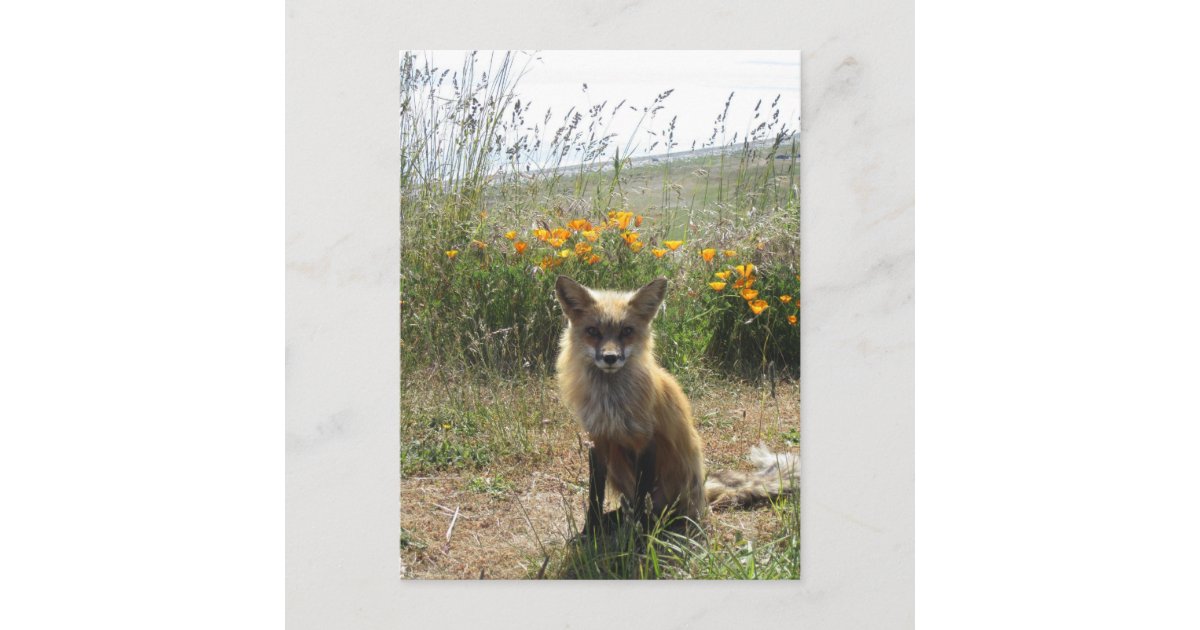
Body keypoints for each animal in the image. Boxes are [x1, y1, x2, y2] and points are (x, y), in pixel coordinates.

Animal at [554, 275, 799, 534]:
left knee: (662, 510)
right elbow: (595, 496)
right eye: (593, 331)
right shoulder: (597, 440)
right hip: (618, 464)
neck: (611, 403)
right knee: (630, 503)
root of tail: (702, 491)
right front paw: (589, 531)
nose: (610, 358)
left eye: (626, 331)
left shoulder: (647, 441)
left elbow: (641, 498)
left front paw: (639, 535)